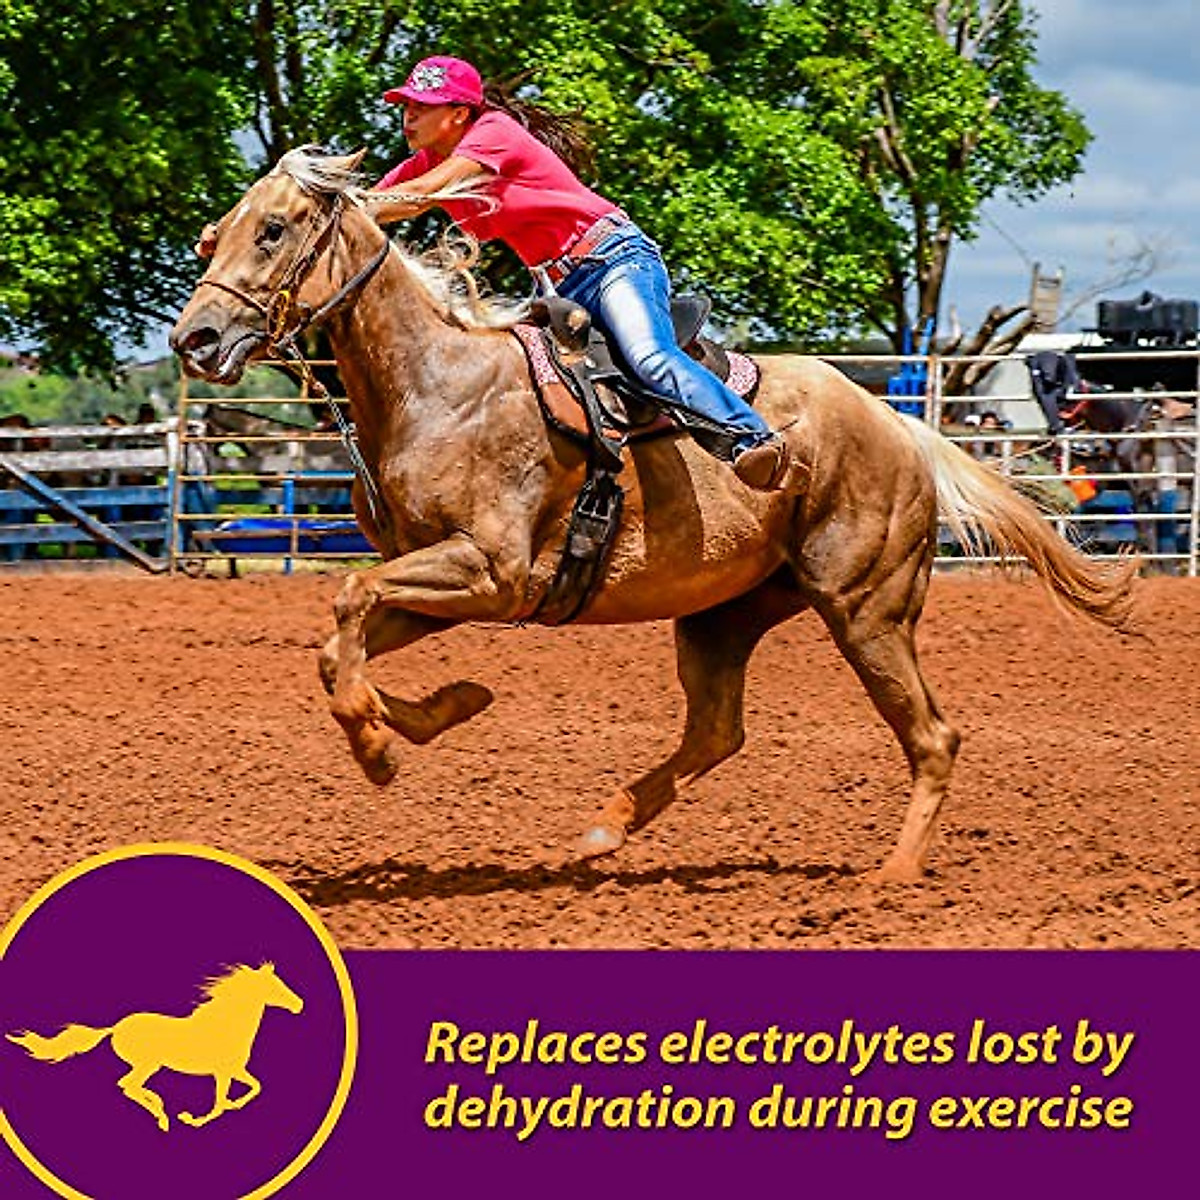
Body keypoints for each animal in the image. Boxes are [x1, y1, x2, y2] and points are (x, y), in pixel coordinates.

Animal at [7, 962, 303, 1131]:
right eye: (275, 987)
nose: (299, 1004)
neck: (227, 1025)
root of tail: (115, 1028)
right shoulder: (222, 1073)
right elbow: (219, 1104)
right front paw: (193, 1119)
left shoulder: (235, 1070)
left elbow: (255, 1087)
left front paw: (231, 1105)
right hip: (148, 1064)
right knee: (128, 1085)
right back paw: (162, 1115)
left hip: (149, 1065)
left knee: (128, 1086)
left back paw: (159, 1107)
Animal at [170, 147, 1136, 883]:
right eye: (220, 229)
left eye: (273, 228)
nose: (193, 341)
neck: (440, 384)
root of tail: (897, 425)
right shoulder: (449, 581)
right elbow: (343, 642)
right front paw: (443, 709)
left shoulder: (490, 569)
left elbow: (348, 610)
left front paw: (381, 746)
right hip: (723, 614)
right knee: (716, 730)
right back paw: (607, 825)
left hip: (868, 609)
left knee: (933, 735)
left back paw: (892, 877)